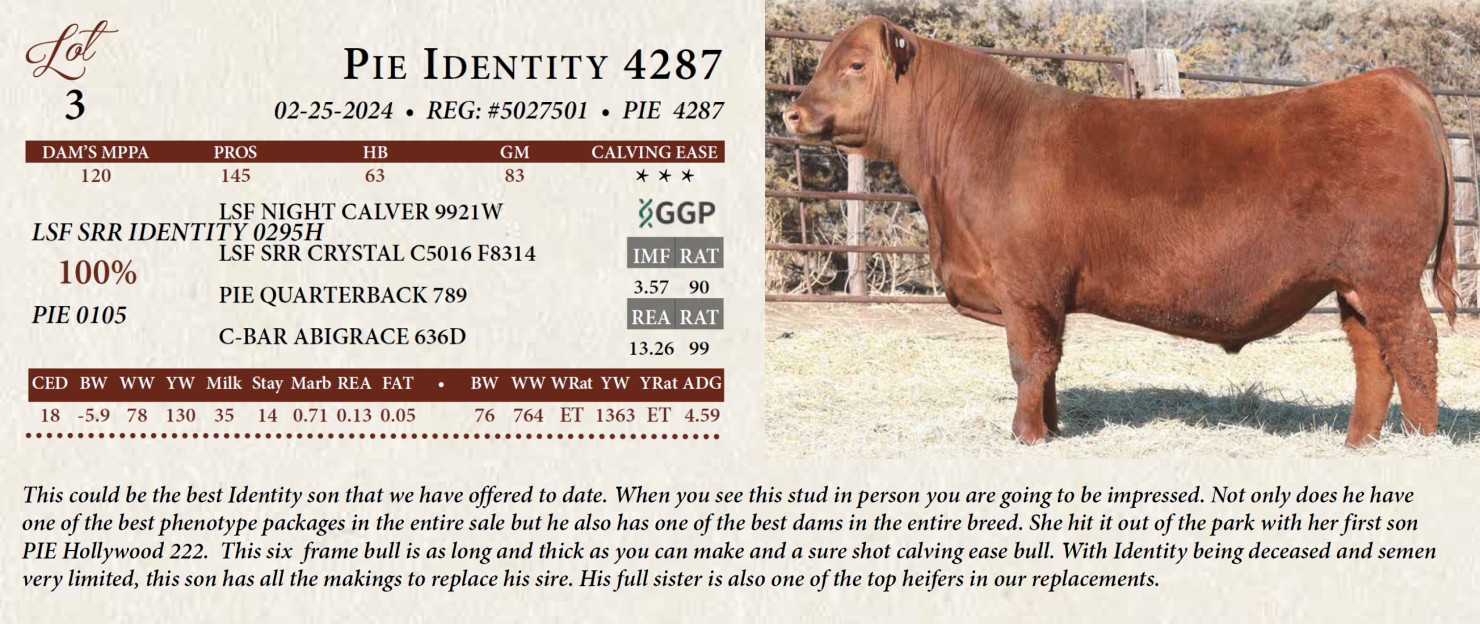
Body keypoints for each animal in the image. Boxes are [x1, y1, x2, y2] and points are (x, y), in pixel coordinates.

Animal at [782, 16, 1459, 447]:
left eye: (855, 64)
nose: (792, 112)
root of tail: (1389, 80)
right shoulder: (1042, 295)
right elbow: (1049, 365)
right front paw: (1050, 428)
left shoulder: (1028, 285)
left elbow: (1028, 360)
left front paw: (1025, 437)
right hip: (1353, 283)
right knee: (1373, 357)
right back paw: (1359, 443)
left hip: (1389, 275)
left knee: (1415, 347)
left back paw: (1419, 443)